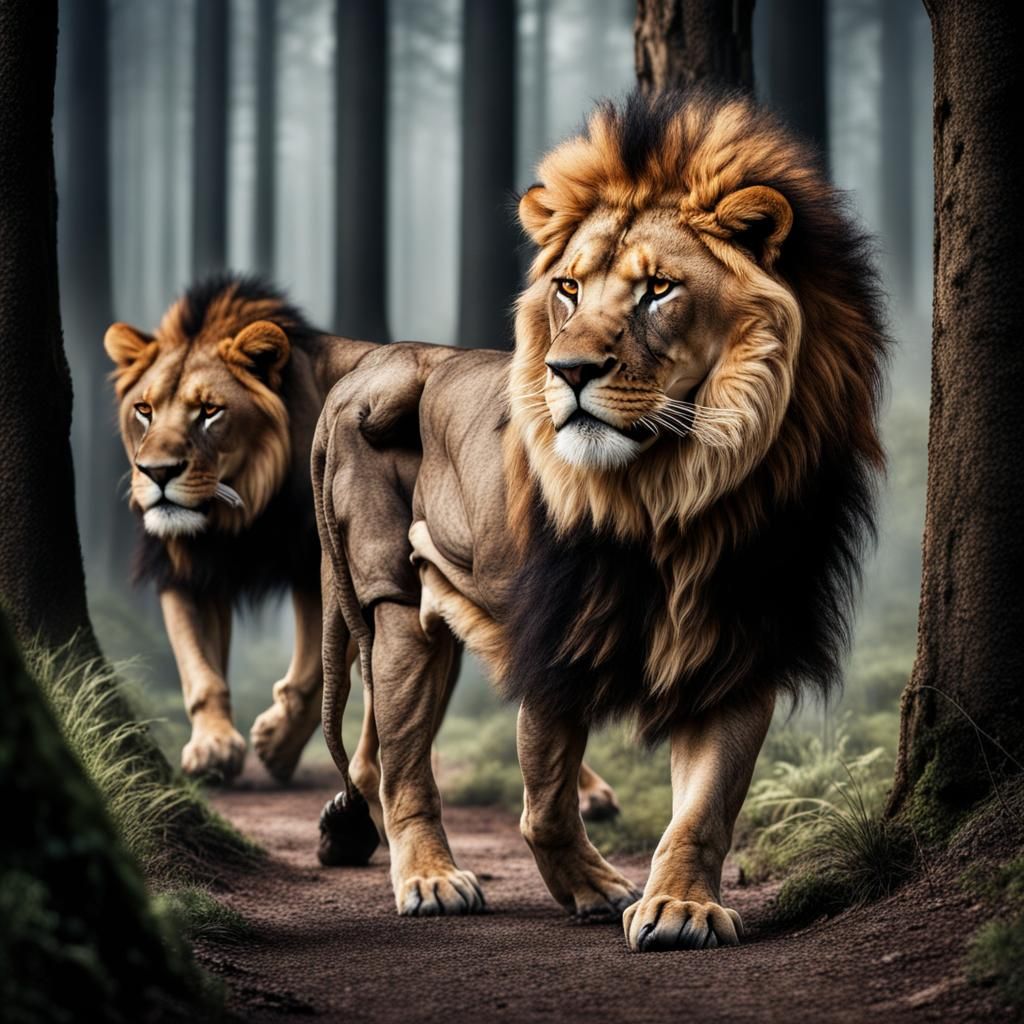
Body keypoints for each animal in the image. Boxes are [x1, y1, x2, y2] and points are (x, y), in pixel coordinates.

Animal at [313, 88, 887, 950]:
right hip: (390, 598)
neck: (674, 493)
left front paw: (681, 905)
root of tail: (374, 364)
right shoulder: (556, 630)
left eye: (658, 290)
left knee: (381, 750)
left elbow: (707, 804)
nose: (568, 370)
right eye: (570, 290)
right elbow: (543, 799)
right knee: (407, 760)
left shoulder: (740, 636)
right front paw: (591, 884)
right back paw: (431, 878)